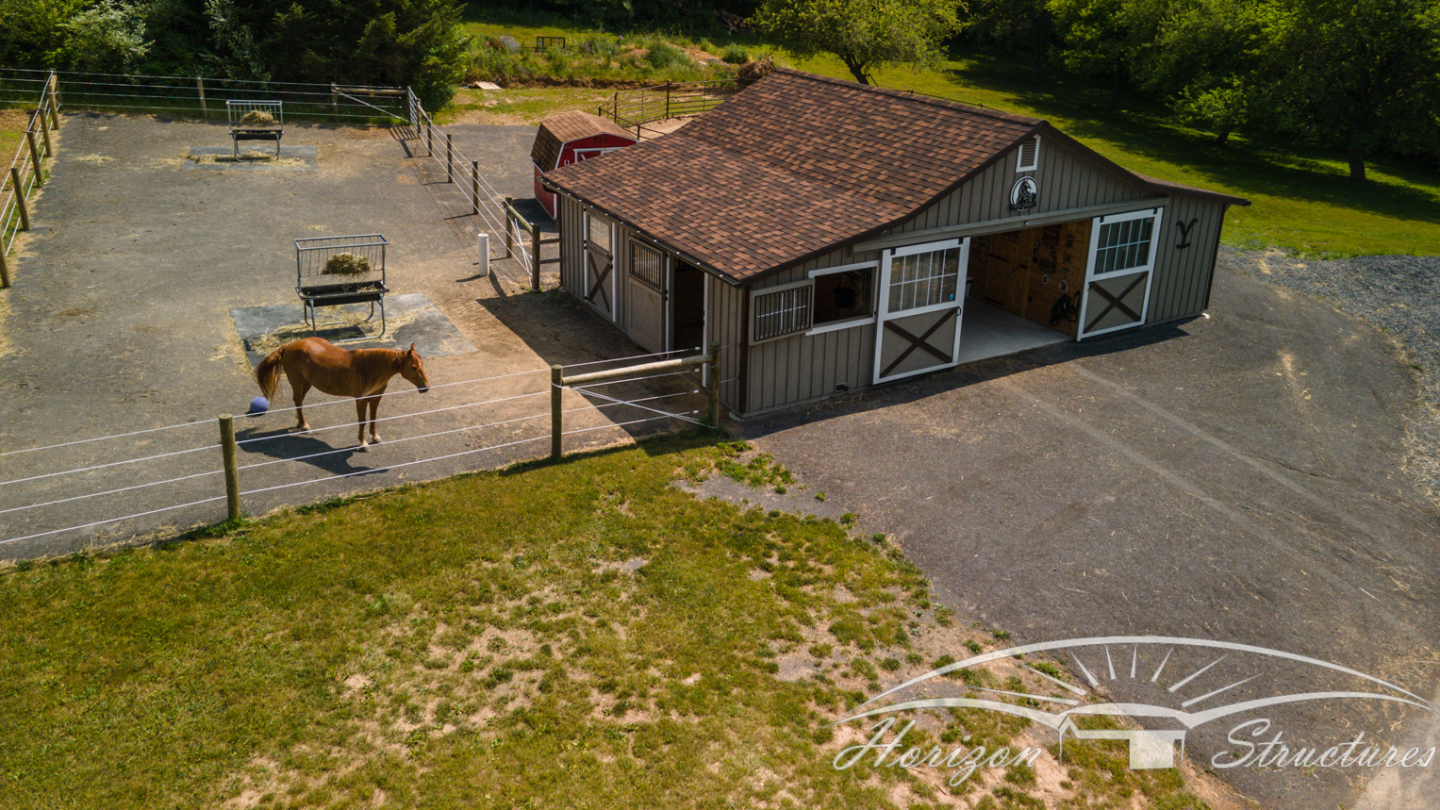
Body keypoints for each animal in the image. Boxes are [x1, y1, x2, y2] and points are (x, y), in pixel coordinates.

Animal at [256, 337, 430, 450]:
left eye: (423, 364)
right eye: (413, 367)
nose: (426, 387)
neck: (369, 368)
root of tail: (288, 346)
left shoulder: (375, 399)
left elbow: (373, 418)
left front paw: (375, 437)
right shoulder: (360, 400)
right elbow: (362, 421)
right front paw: (363, 443)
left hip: (306, 383)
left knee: (298, 402)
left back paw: (300, 423)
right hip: (298, 383)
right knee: (298, 401)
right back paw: (304, 426)